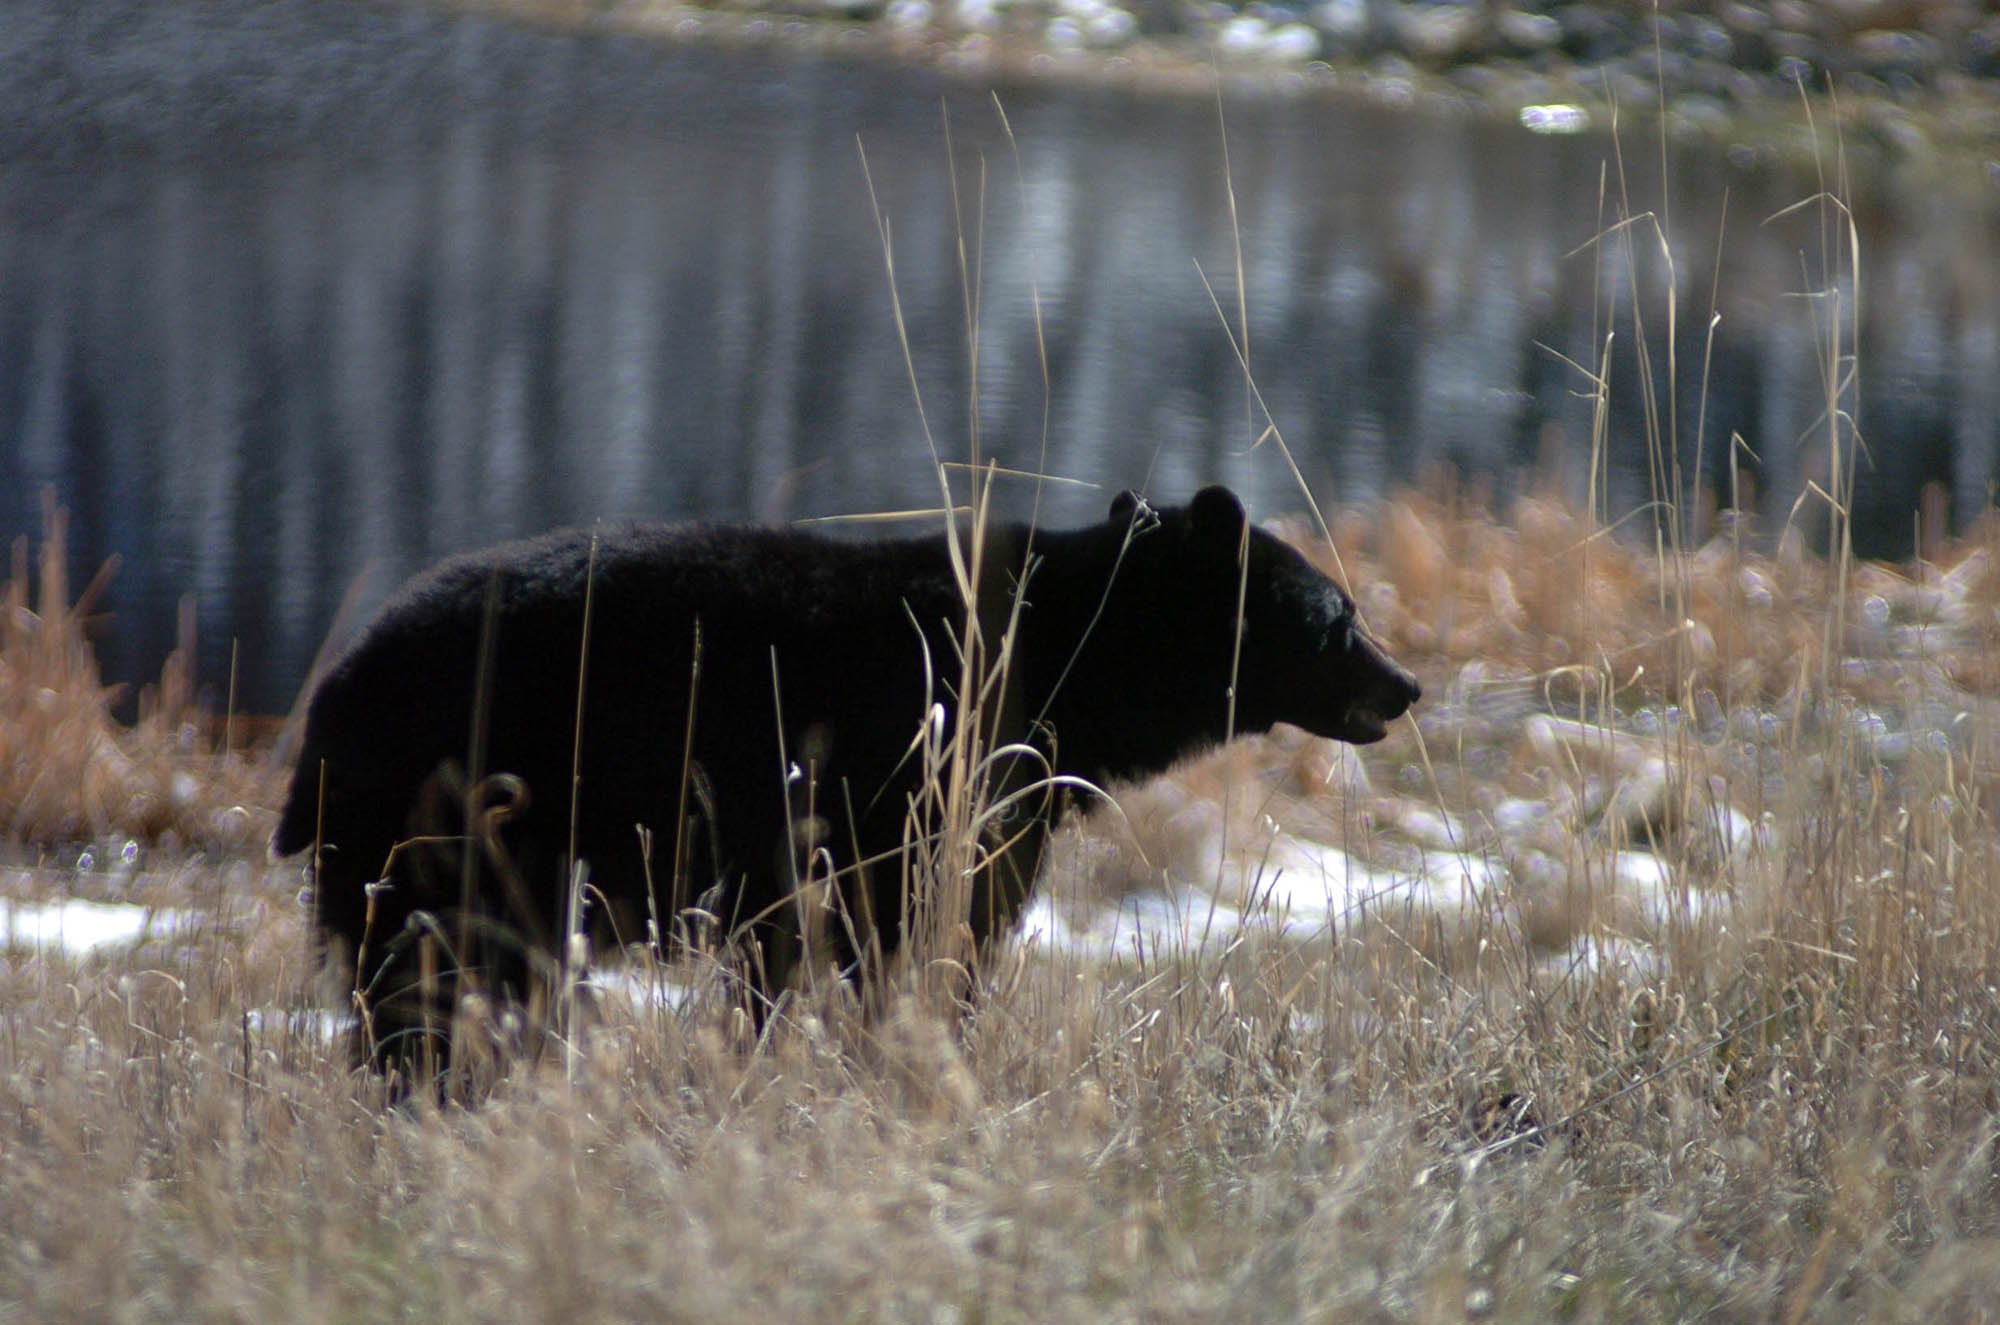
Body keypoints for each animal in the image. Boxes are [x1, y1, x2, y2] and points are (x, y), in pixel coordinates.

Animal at [273, 486, 1420, 1083]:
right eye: (1338, 614)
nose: (1406, 684)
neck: (1061, 653)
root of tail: (325, 701)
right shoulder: (911, 777)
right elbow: (913, 929)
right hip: (445, 829)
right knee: (416, 983)